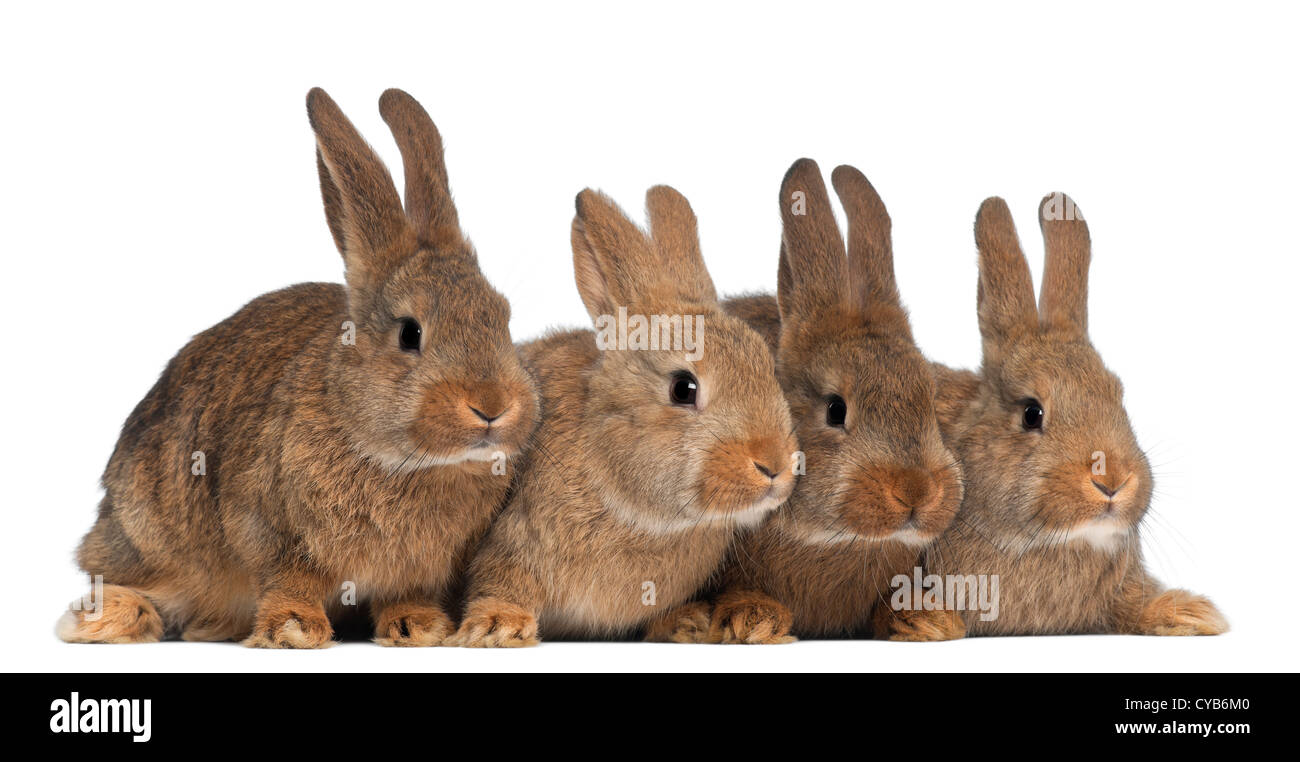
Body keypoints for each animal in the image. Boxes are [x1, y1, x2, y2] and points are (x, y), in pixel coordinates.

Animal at [56, 88, 539, 648]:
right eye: (410, 333)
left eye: (502, 317)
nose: (492, 406)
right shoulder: (268, 529)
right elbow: (291, 580)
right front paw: (293, 630)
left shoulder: (417, 568)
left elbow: (406, 593)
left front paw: (418, 627)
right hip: (147, 531)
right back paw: (111, 617)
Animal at [447, 185, 799, 647]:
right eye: (683, 388)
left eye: (767, 367)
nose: (774, 465)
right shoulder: (513, 540)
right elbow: (499, 582)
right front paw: (497, 626)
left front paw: (687, 623)